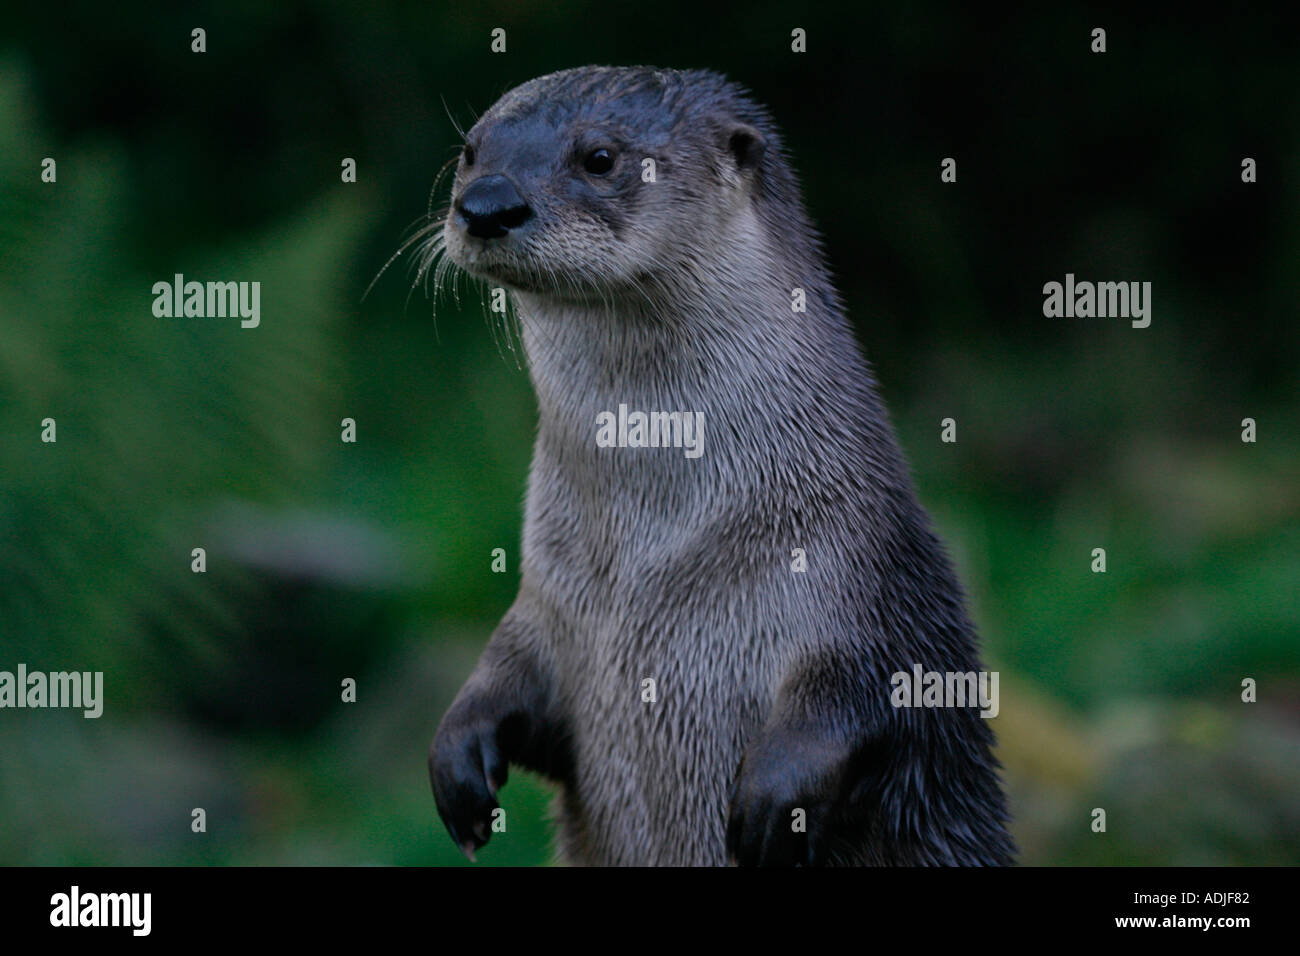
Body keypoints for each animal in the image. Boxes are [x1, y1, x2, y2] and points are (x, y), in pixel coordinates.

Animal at [426, 66, 1015, 866]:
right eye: (469, 151)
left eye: (601, 158)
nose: (487, 204)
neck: (651, 562)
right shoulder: (549, 595)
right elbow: (508, 668)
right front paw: (457, 751)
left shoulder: (859, 570)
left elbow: (869, 692)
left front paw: (774, 802)